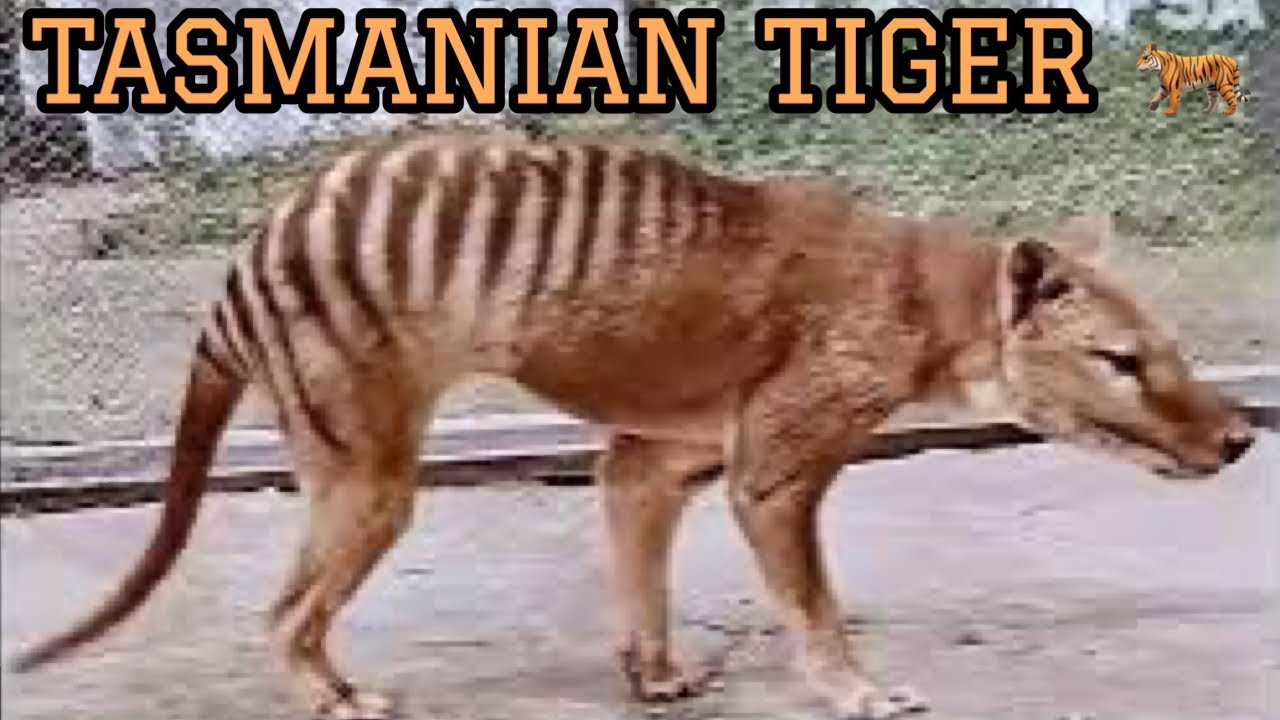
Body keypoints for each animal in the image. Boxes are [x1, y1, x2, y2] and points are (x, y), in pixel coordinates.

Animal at [10, 132, 1256, 720]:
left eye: (1167, 348)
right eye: (1118, 361)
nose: (1240, 438)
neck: (924, 296)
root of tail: (256, 242)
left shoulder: (657, 460)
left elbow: (639, 573)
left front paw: (652, 676)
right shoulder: (771, 473)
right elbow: (816, 606)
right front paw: (856, 691)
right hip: (372, 476)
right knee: (280, 615)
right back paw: (332, 696)